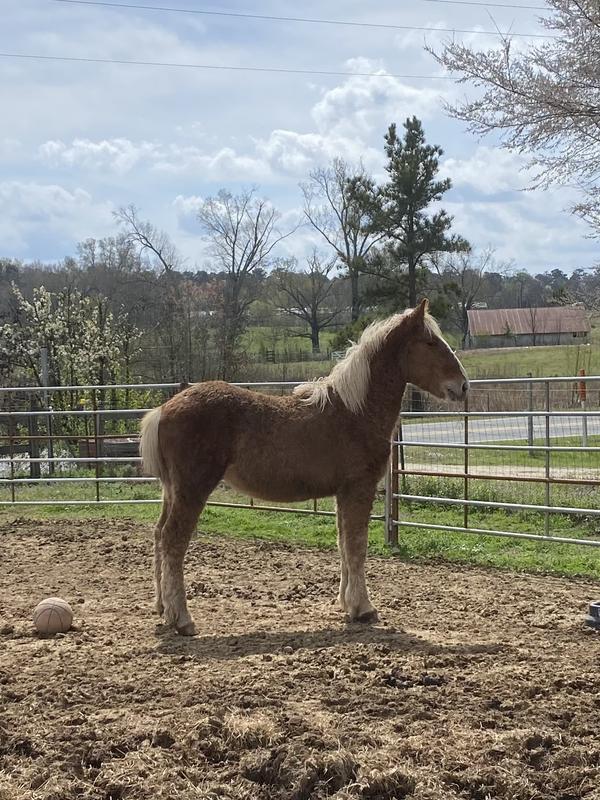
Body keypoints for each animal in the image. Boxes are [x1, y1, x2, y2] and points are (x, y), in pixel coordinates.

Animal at [140, 299, 468, 635]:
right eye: (430, 342)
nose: (463, 385)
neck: (355, 412)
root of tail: (164, 409)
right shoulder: (359, 489)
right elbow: (357, 545)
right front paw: (364, 608)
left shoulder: (343, 494)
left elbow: (343, 544)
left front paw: (347, 604)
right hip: (193, 490)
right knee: (173, 540)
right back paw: (182, 619)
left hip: (173, 491)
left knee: (158, 534)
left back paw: (163, 608)